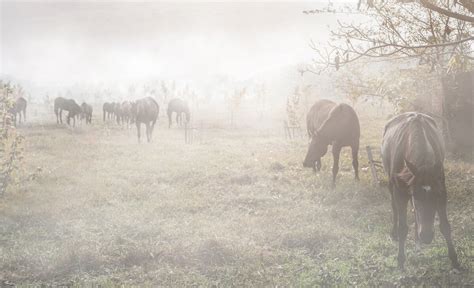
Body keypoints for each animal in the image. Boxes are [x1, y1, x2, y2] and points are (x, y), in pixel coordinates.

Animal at [382, 112, 460, 270]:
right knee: (394, 208)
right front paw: (400, 260)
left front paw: (454, 259)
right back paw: (395, 233)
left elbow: (445, 226)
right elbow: (403, 227)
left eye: (436, 196)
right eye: (415, 195)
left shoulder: (441, 189)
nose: (427, 236)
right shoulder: (401, 192)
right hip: (391, 184)